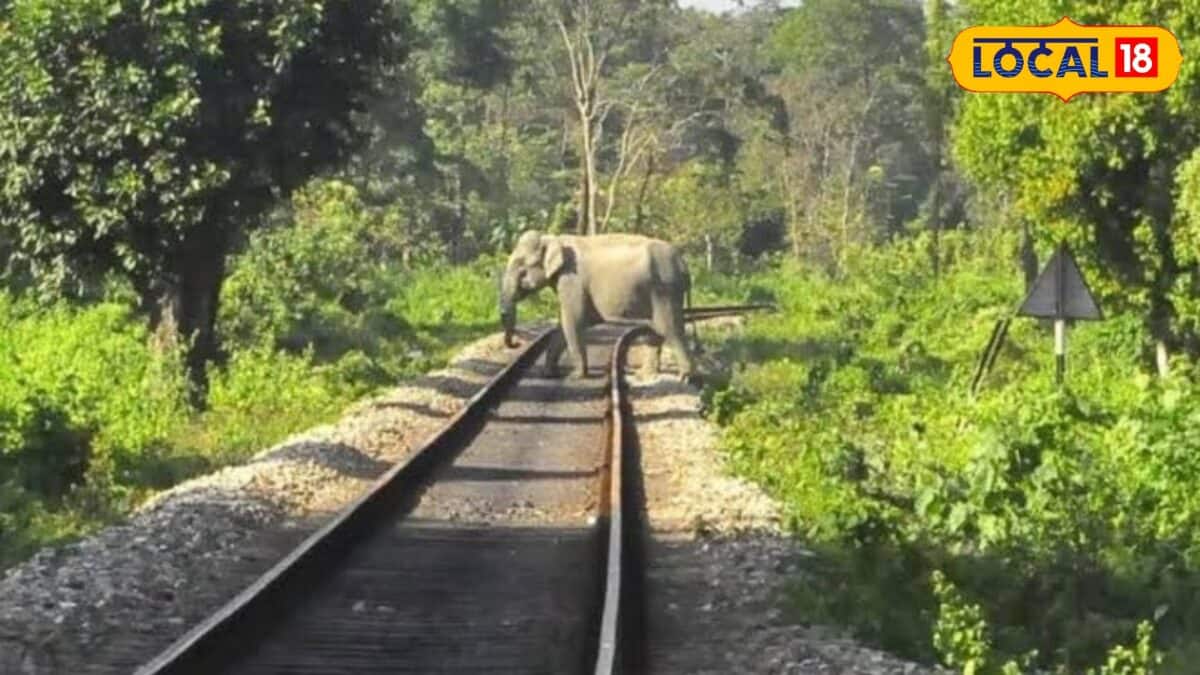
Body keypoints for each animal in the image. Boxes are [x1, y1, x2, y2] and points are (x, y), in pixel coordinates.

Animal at [498, 230, 695, 380]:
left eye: (521, 268)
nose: (516, 343)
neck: (555, 239)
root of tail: (684, 263)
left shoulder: (572, 280)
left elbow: (573, 321)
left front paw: (575, 377)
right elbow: (563, 326)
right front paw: (548, 374)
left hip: (665, 290)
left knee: (669, 328)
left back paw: (685, 377)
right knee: (656, 330)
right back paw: (645, 375)